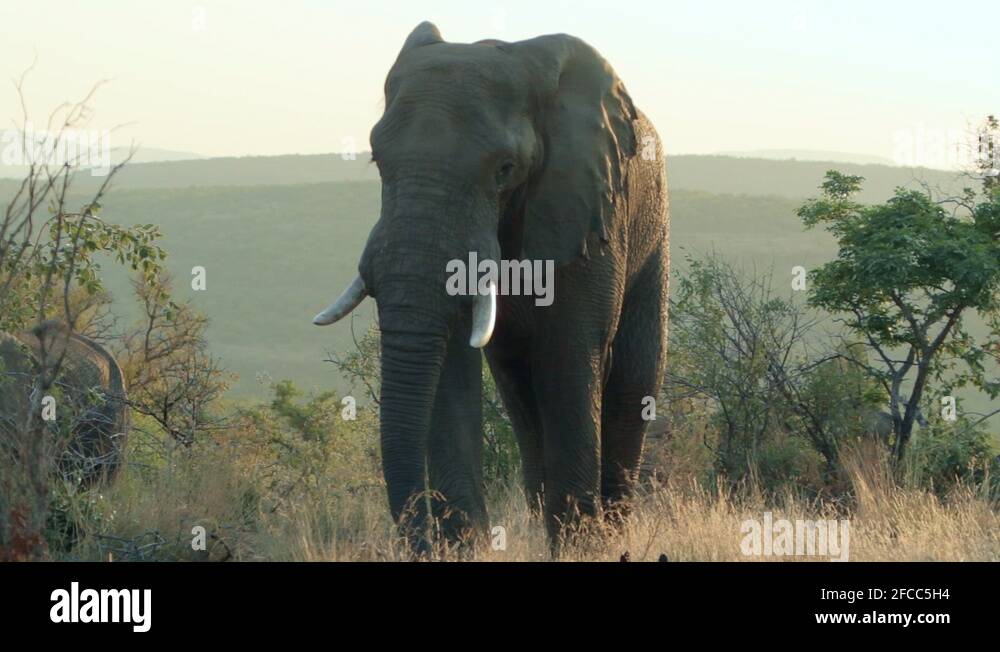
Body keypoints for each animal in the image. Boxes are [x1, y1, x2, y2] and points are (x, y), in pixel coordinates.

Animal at [313, 22, 669, 553]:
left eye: (505, 169)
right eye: (377, 160)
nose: (422, 540)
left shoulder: (584, 207)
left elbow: (570, 356)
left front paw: (579, 547)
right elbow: (451, 365)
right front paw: (466, 547)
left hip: (652, 226)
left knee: (632, 381)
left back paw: (612, 530)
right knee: (519, 389)